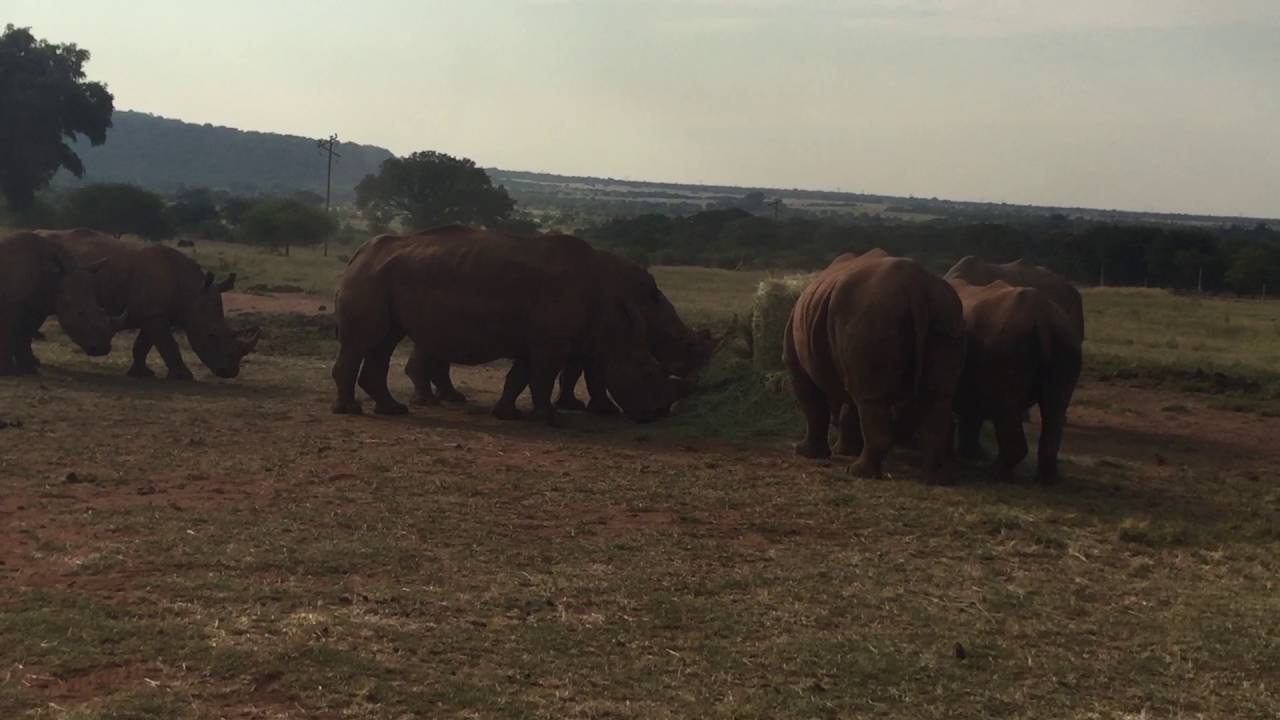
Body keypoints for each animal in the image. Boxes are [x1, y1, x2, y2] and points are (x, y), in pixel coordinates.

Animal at [0, 232, 119, 374]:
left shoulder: (37, 307)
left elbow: (25, 335)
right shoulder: (12, 305)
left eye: (101, 310)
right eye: (80, 314)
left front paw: (29, 369)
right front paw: (8, 371)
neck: (55, 278)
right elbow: (8, 334)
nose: (102, 349)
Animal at [37, 229, 259, 380]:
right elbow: (168, 345)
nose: (230, 372)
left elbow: (143, 344)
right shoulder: (154, 314)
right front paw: (185, 377)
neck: (192, 292)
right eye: (211, 335)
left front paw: (141, 373)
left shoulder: (154, 313)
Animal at [332, 226, 669, 425]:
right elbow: (542, 377)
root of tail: (358, 254)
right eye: (647, 373)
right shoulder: (550, 341)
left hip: (383, 276)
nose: (657, 414)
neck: (612, 320)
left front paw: (507, 414)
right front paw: (549, 418)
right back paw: (351, 411)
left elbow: (520, 376)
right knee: (364, 341)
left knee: (385, 340)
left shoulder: (537, 340)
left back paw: (392, 410)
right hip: (372, 277)